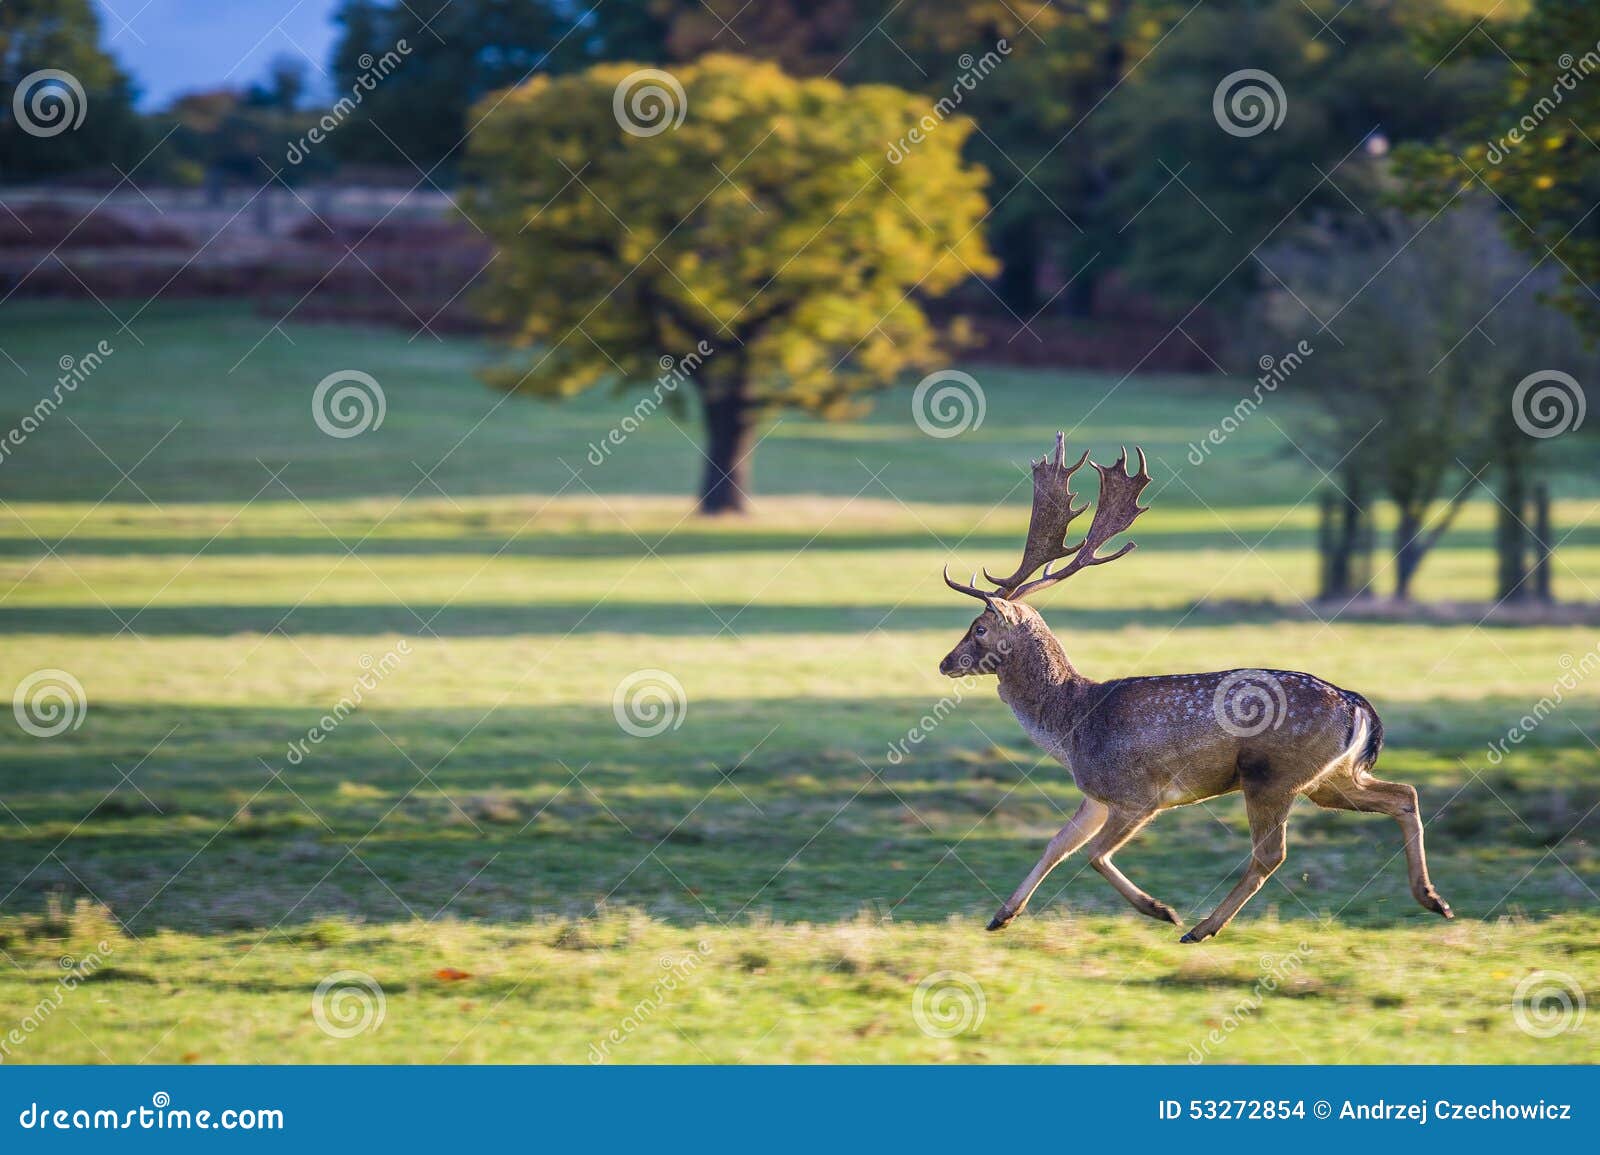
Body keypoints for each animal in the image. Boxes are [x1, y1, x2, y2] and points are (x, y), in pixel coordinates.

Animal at [939, 434, 1453, 942]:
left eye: (979, 628)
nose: (945, 663)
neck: (1072, 726)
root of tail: (1357, 705)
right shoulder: (1096, 793)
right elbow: (1056, 845)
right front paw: (1001, 915)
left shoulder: (1137, 793)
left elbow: (1094, 855)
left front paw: (1160, 909)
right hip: (1330, 777)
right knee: (1404, 794)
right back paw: (1433, 898)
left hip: (1272, 776)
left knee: (1272, 854)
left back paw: (1201, 928)